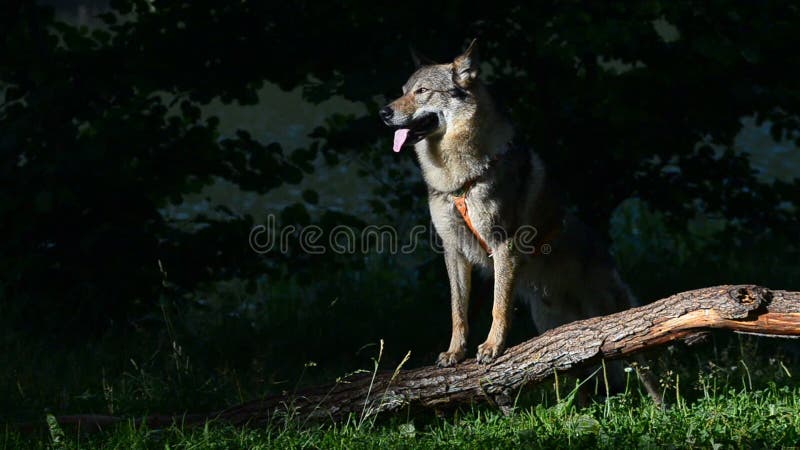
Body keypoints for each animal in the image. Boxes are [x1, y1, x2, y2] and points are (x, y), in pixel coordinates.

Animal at [379, 40, 659, 400]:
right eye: (402, 91)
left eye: (422, 91)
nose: (384, 113)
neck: (459, 180)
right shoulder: (453, 251)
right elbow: (458, 311)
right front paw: (454, 353)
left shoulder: (503, 245)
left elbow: (498, 307)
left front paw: (491, 348)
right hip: (556, 331)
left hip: (619, 322)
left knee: (645, 362)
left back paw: (664, 404)